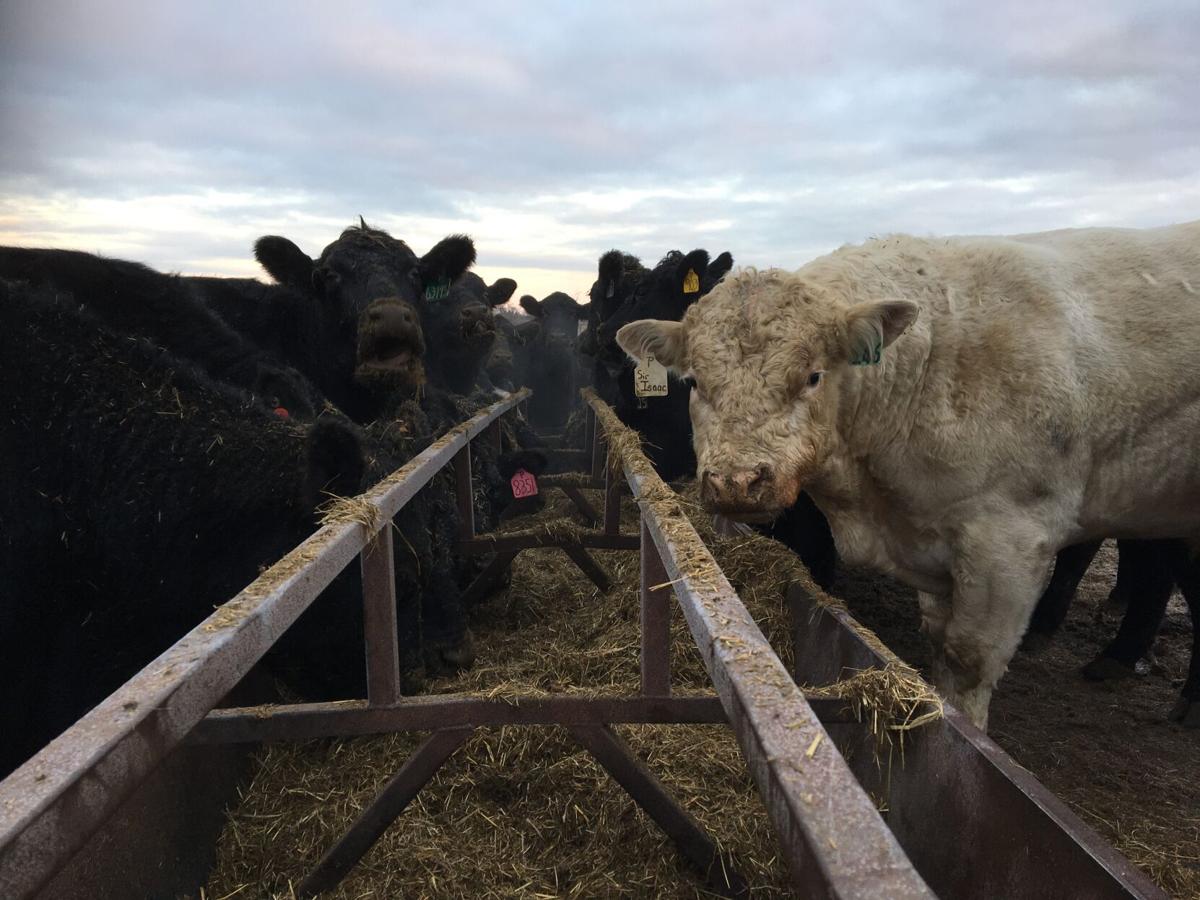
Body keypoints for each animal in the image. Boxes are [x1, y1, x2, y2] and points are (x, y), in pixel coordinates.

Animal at [617, 221, 1200, 730]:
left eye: (813, 377)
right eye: (694, 381)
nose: (738, 482)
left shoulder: (1010, 542)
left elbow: (968, 662)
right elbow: (939, 645)